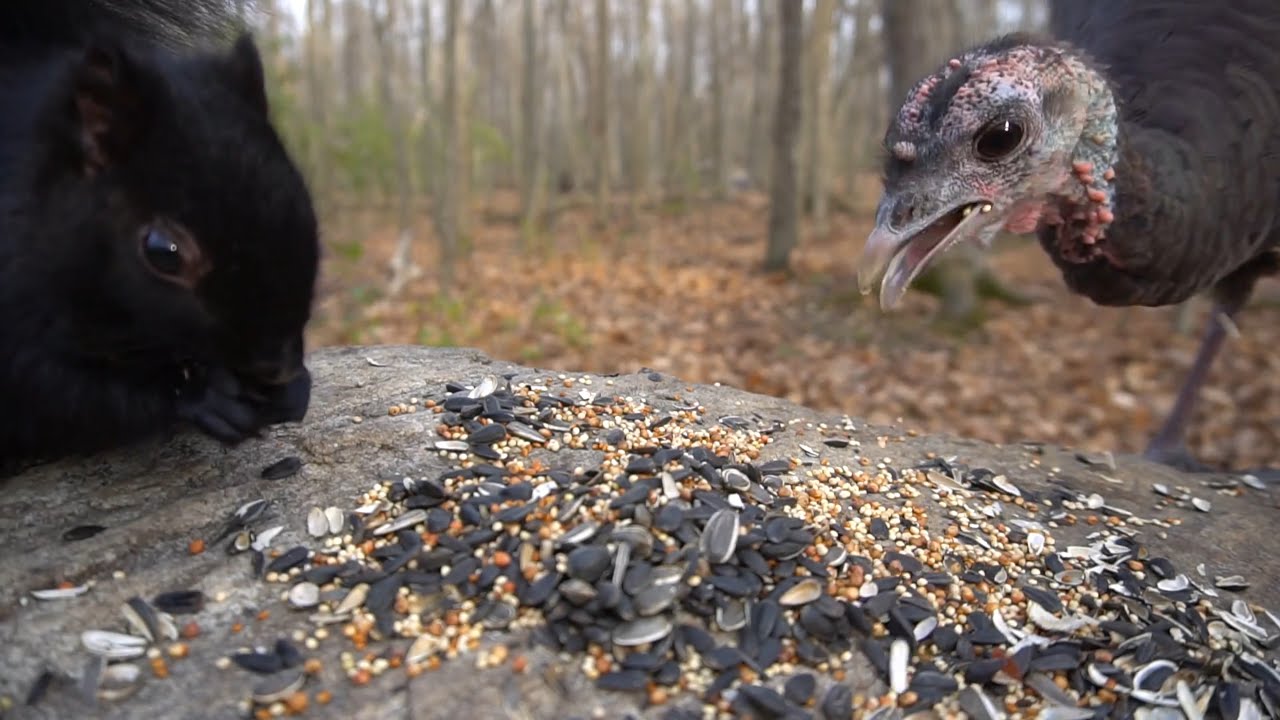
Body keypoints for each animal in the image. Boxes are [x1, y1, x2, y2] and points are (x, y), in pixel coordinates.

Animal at [0, 1, 321, 473]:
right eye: (163, 254)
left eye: (304, 205)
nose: (277, 367)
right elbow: (51, 389)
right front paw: (202, 394)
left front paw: (295, 389)